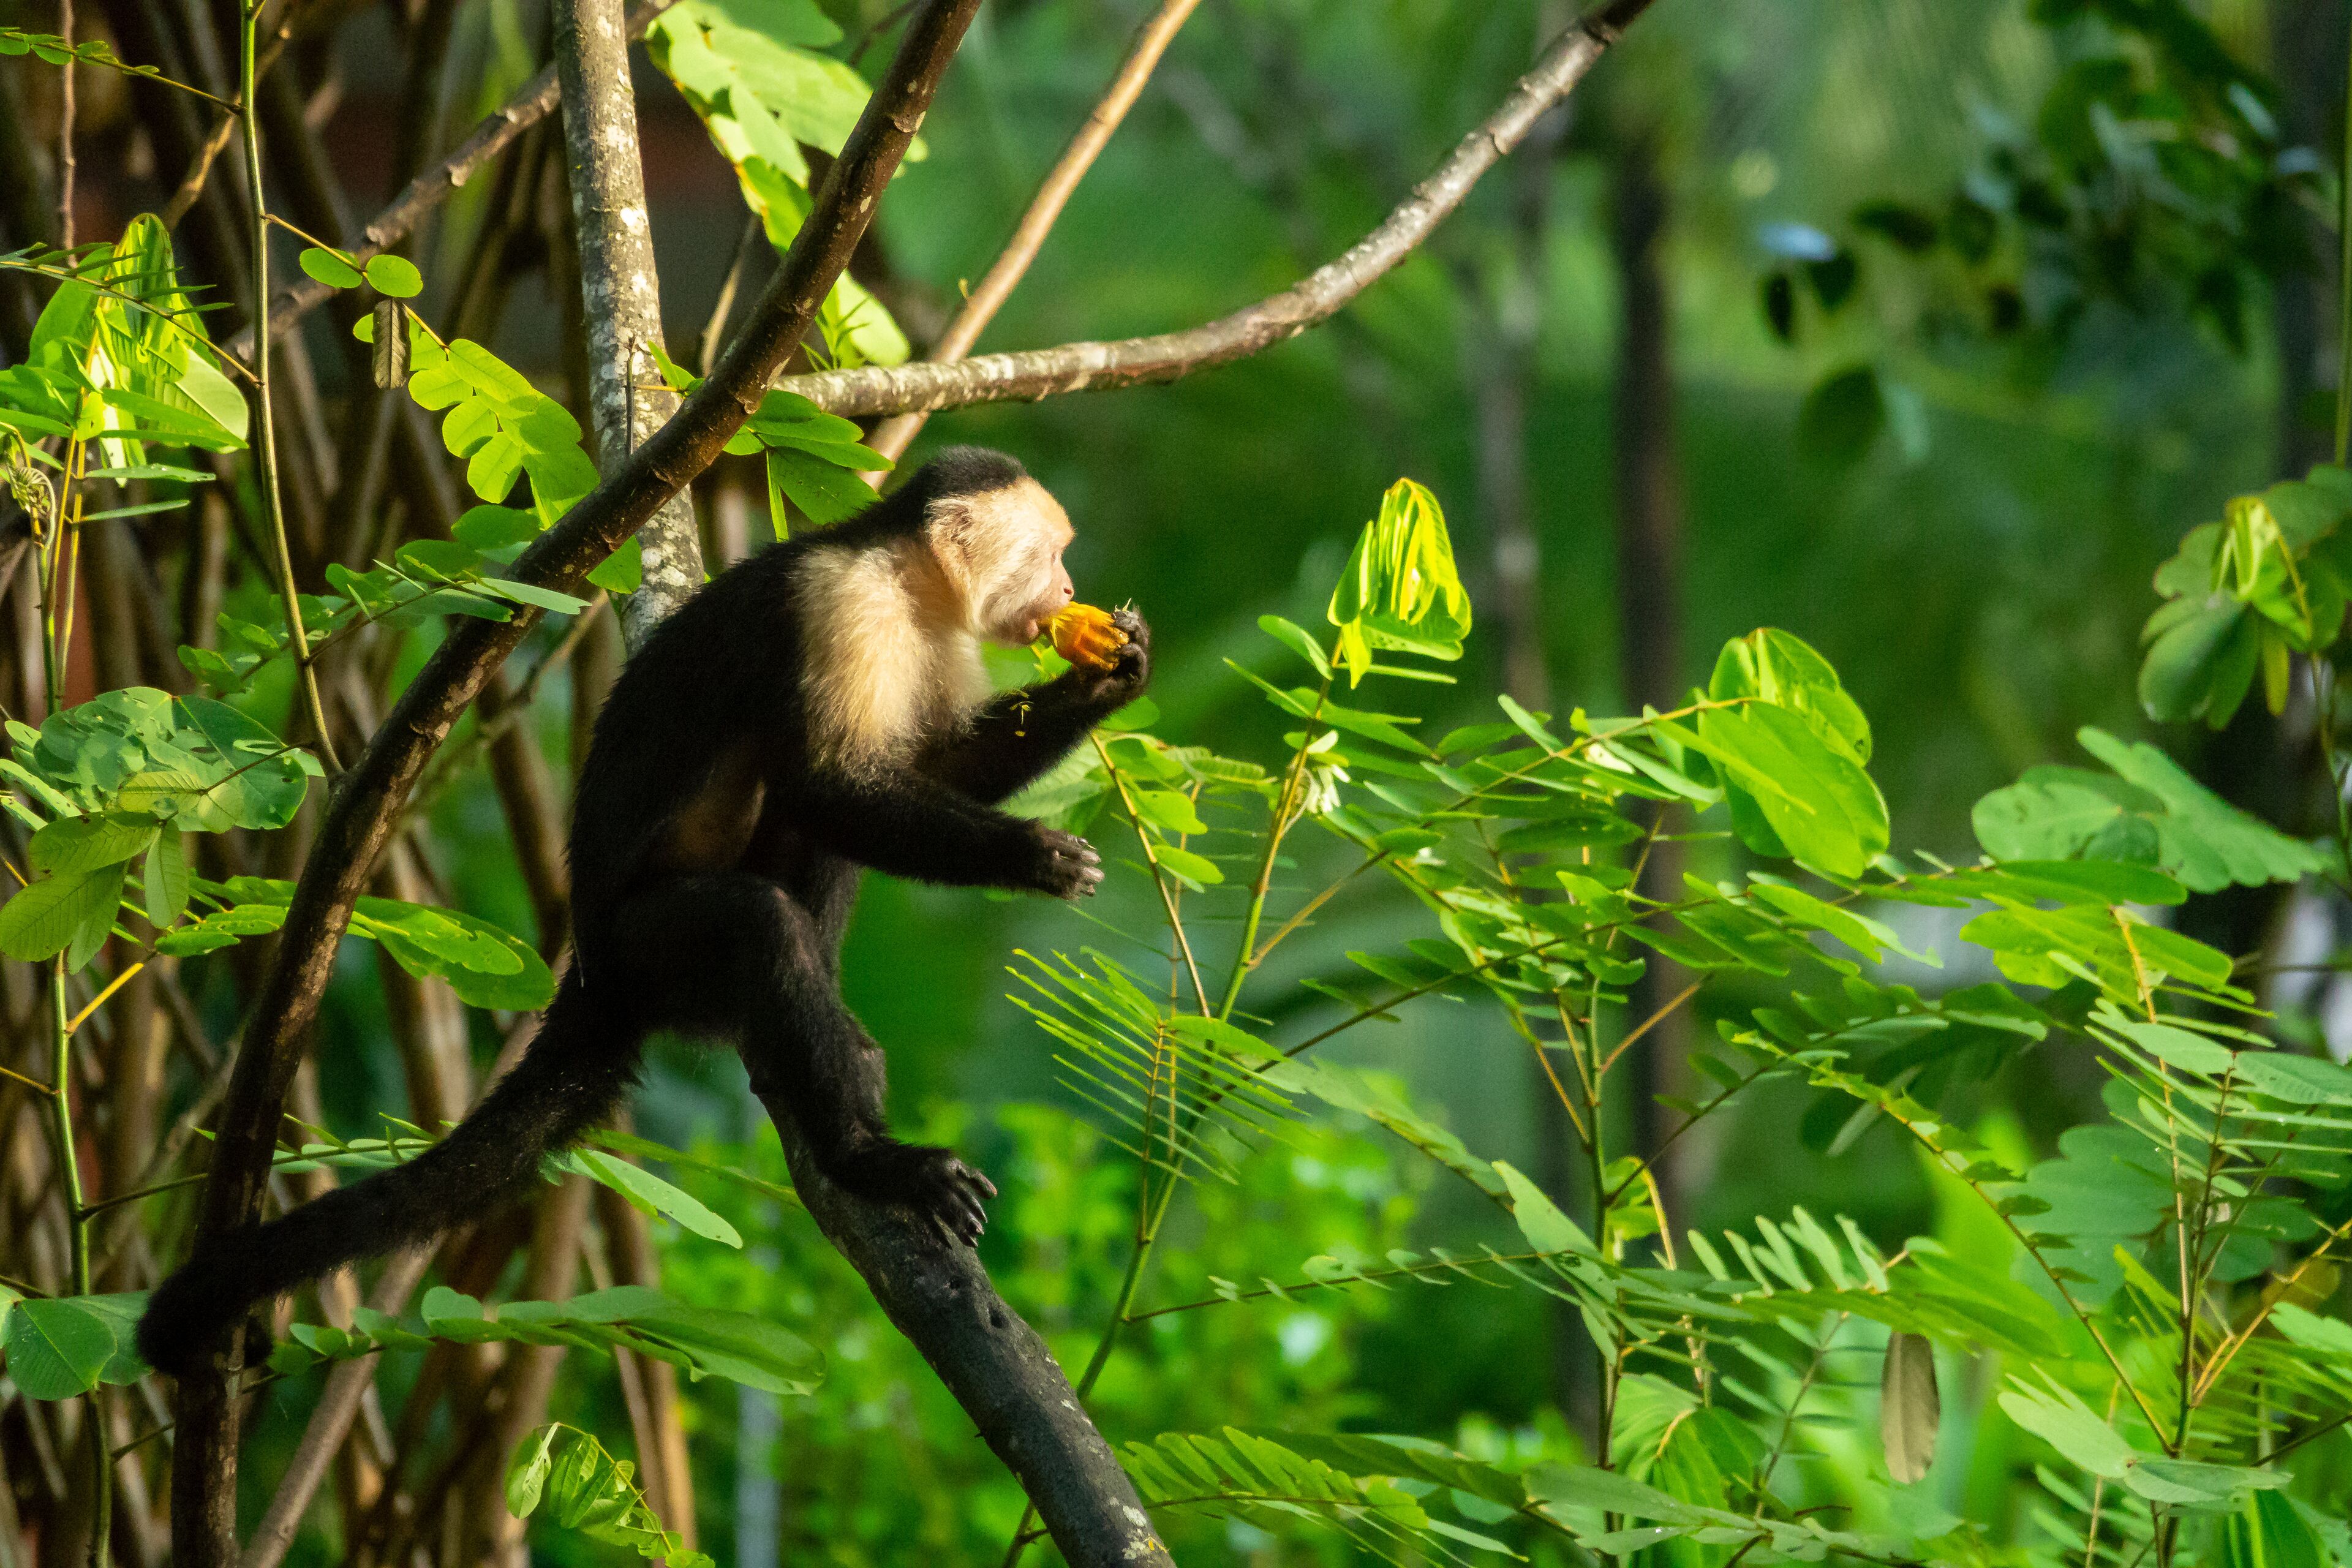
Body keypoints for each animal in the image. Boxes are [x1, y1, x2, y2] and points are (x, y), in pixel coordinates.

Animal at [137, 447, 1150, 1380]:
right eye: (1048, 555)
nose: (1069, 589)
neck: (909, 589)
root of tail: (590, 979)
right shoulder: (838, 609)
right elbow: (832, 787)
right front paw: (1029, 856)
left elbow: (926, 773)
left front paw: (1110, 678)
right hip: (647, 953)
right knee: (758, 909)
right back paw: (860, 1150)